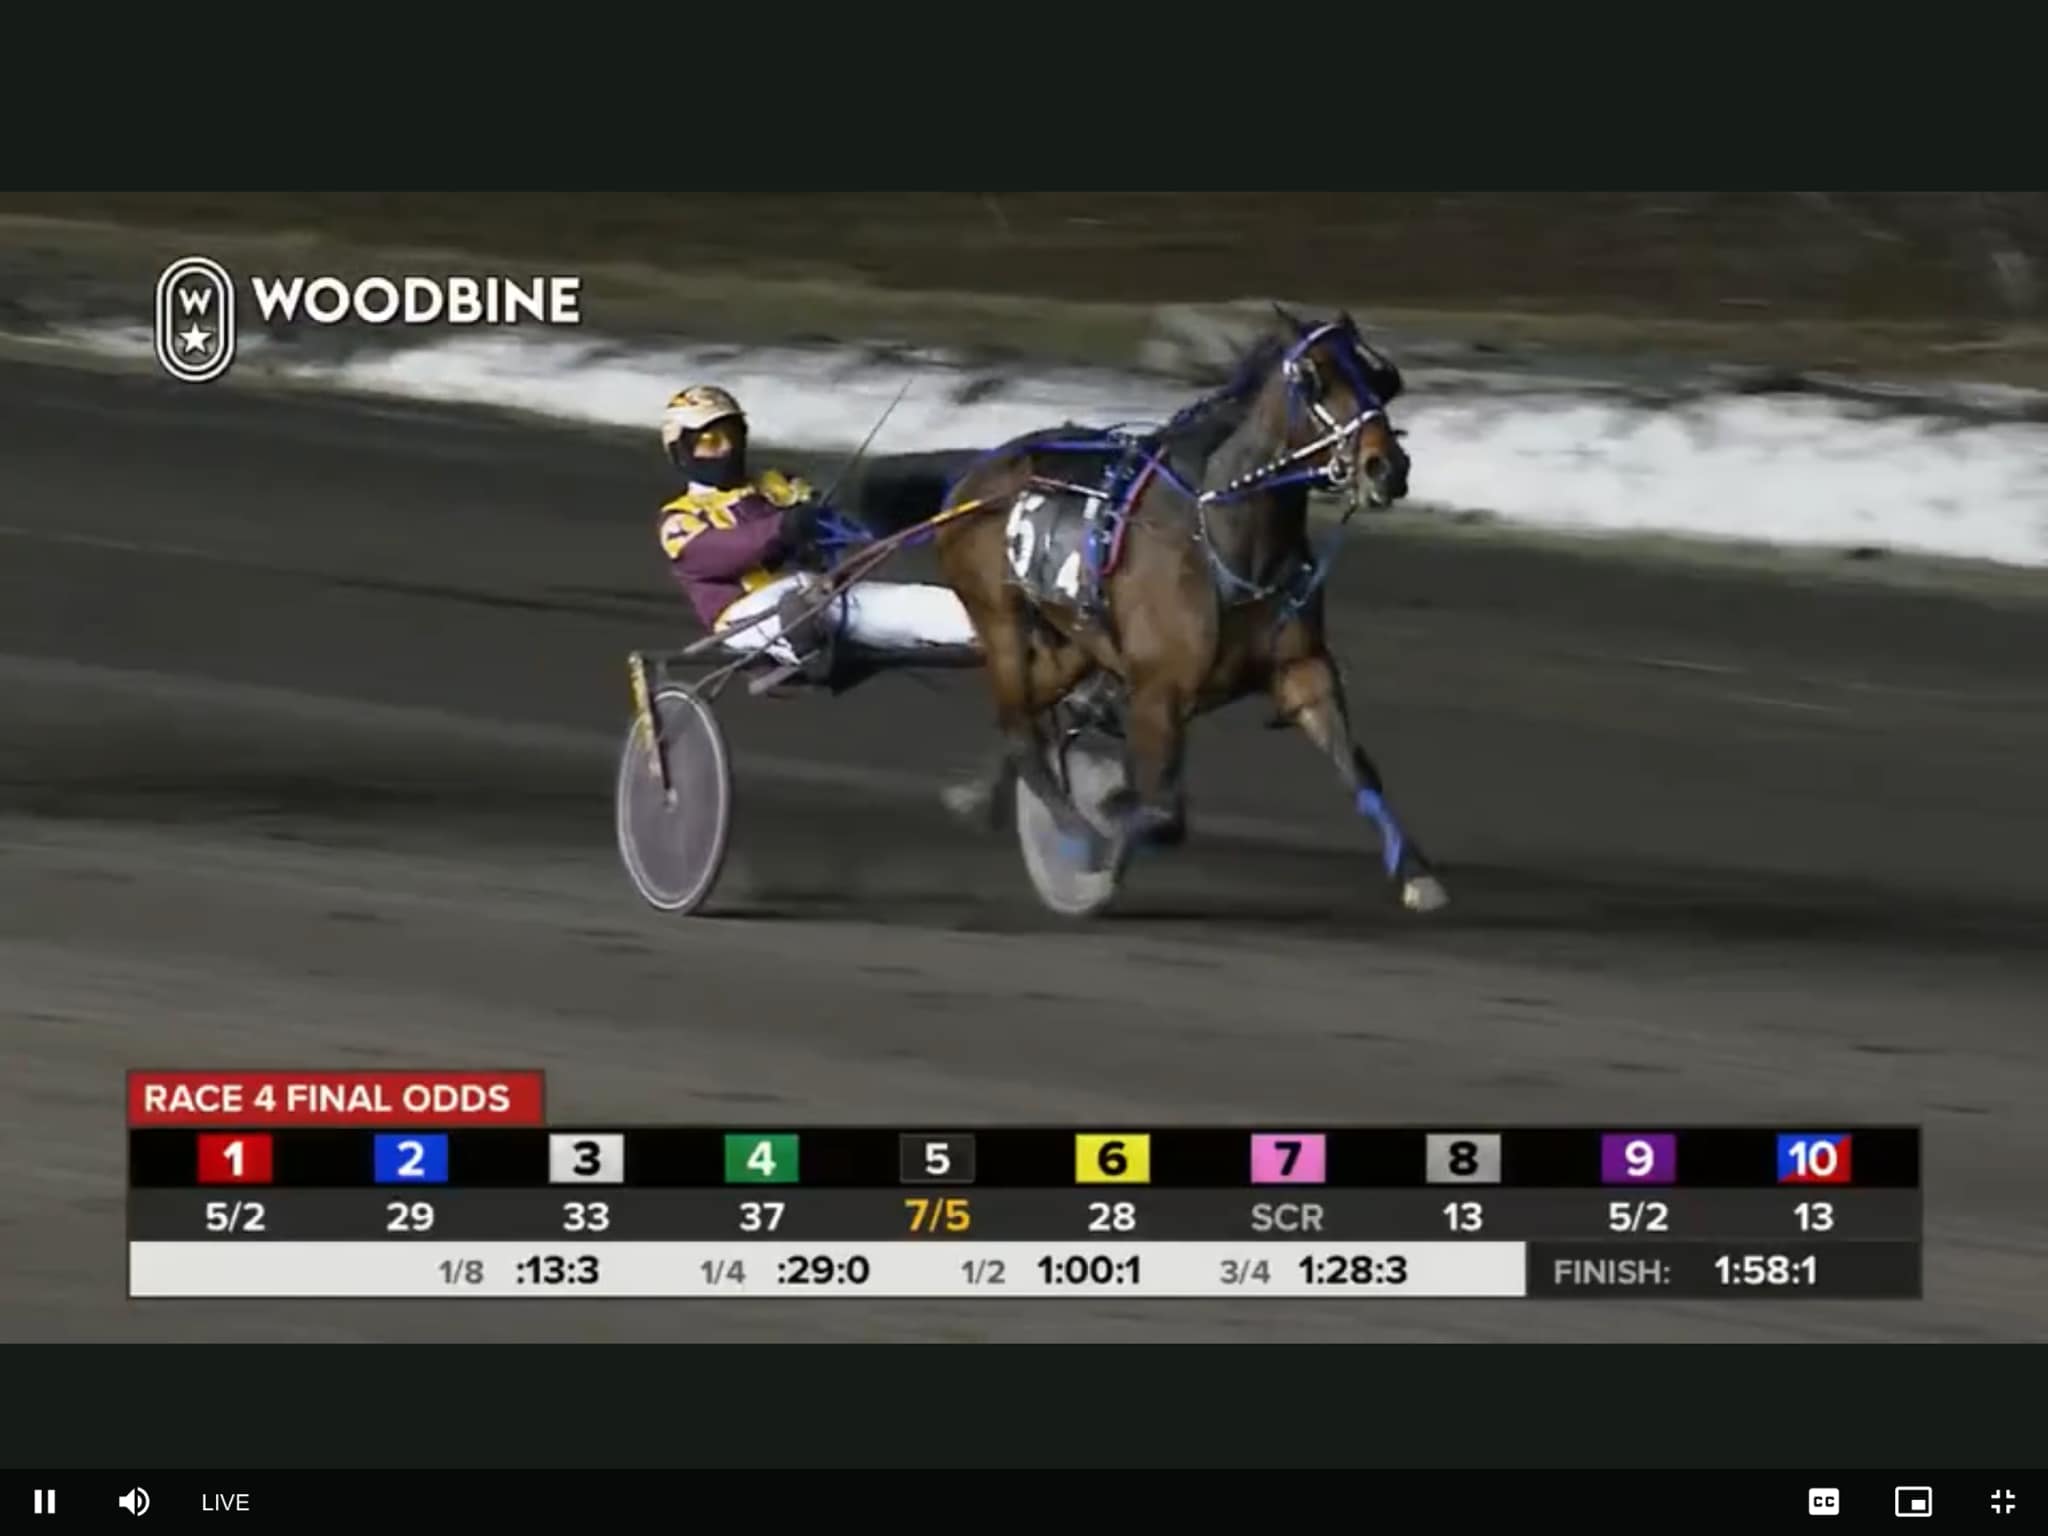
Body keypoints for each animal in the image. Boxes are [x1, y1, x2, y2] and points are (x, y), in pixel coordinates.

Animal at [927, 305, 1449, 914]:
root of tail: (973, 476)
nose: (1385, 467)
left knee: (1031, 706)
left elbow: (1359, 768)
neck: (1223, 535)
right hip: (998, 614)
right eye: (1313, 378)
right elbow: (1158, 813)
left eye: (1381, 377)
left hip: (1077, 642)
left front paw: (1417, 875)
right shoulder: (1159, 690)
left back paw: (980, 796)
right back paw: (1070, 829)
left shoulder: (1302, 670)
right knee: (1019, 724)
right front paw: (1106, 836)